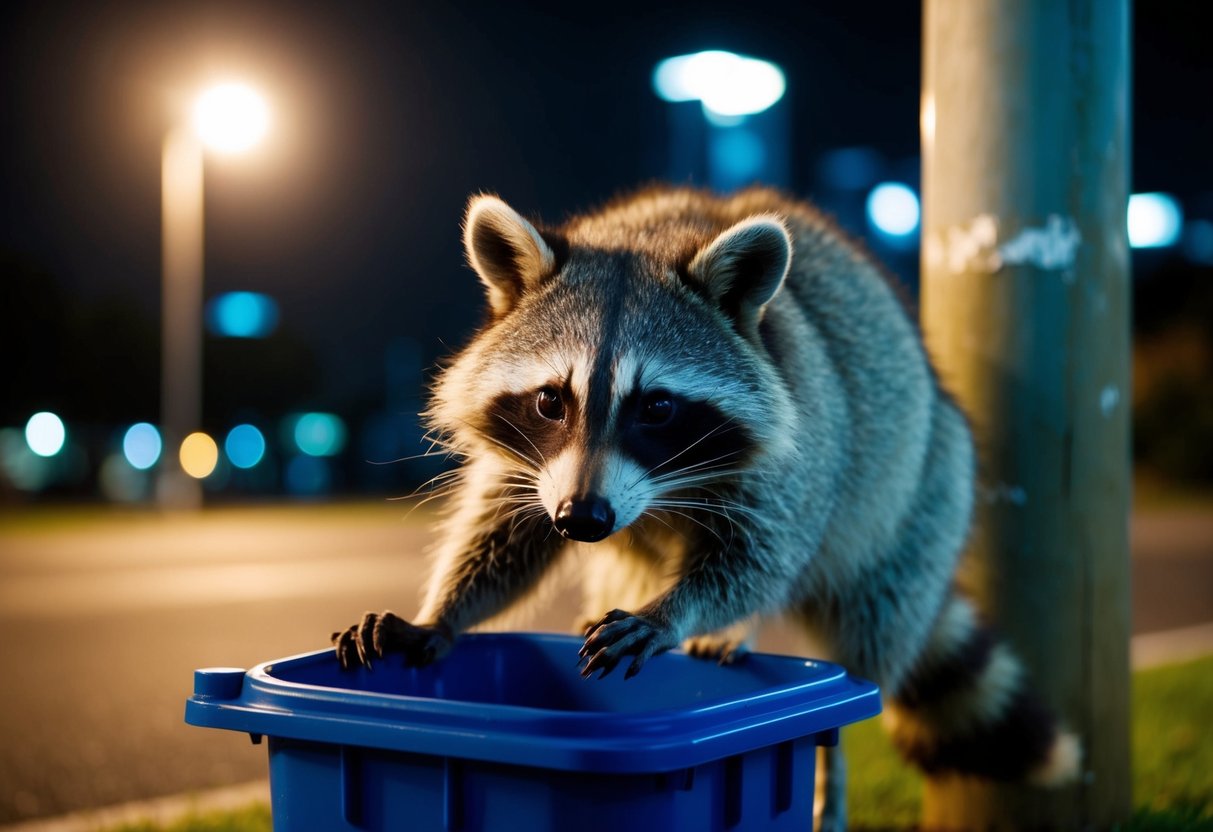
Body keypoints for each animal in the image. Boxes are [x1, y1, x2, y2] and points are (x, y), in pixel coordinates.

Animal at [333, 186, 1081, 814]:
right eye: (550, 400)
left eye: (657, 407)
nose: (583, 519)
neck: (648, 234)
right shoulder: (533, 466)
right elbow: (505, 532)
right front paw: (442, 613)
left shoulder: (797, 443)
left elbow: (760, 557)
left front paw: (674, 611)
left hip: (922, 498)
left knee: (869, 630)